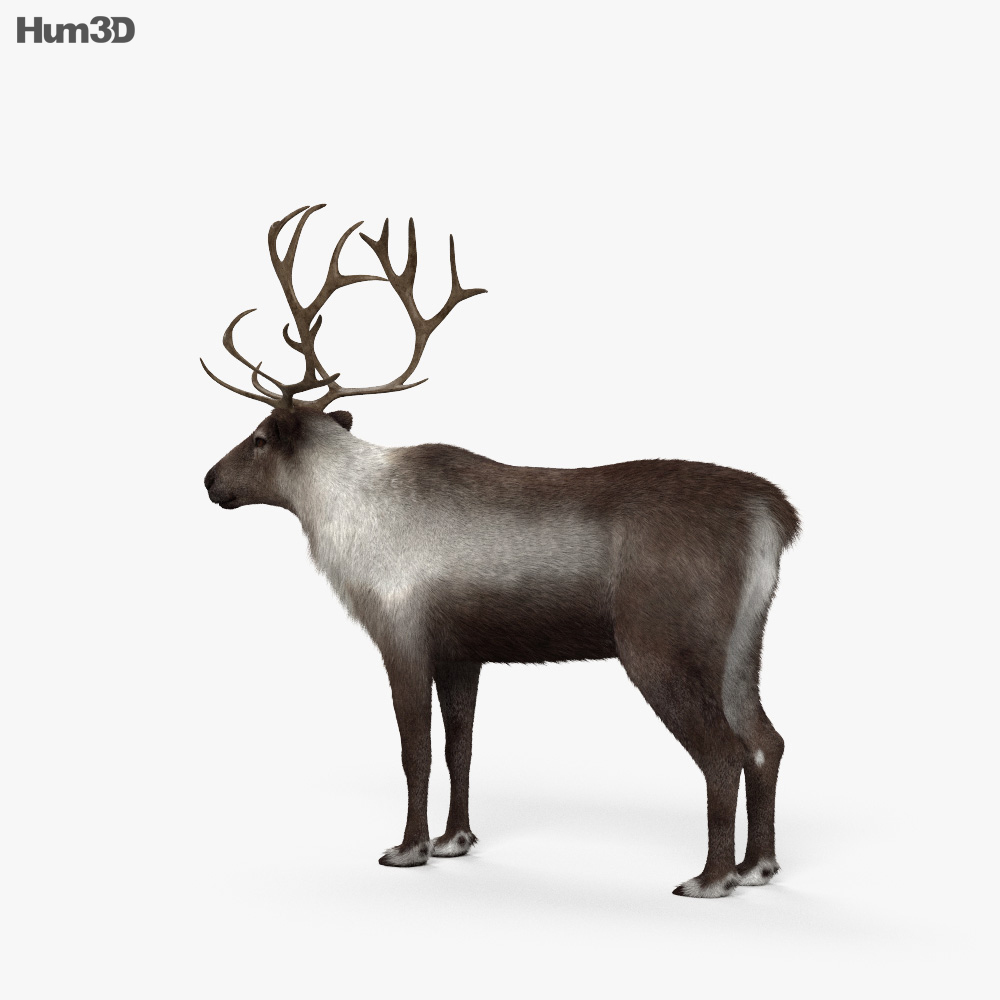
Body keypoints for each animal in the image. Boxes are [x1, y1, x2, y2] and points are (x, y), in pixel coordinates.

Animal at [202, 205, 800, 898]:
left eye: (259, 437)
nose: (208, 480)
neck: (349, 521)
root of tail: (777, 517)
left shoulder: (402, 633)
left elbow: (415, 750)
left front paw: (407, 847)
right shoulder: (464, 651)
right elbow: (460, 747)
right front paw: (454, 839)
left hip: (661, 644)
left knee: (724, 750)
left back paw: (710, 877)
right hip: (743, 643)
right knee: (767, 741)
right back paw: (758, 866)